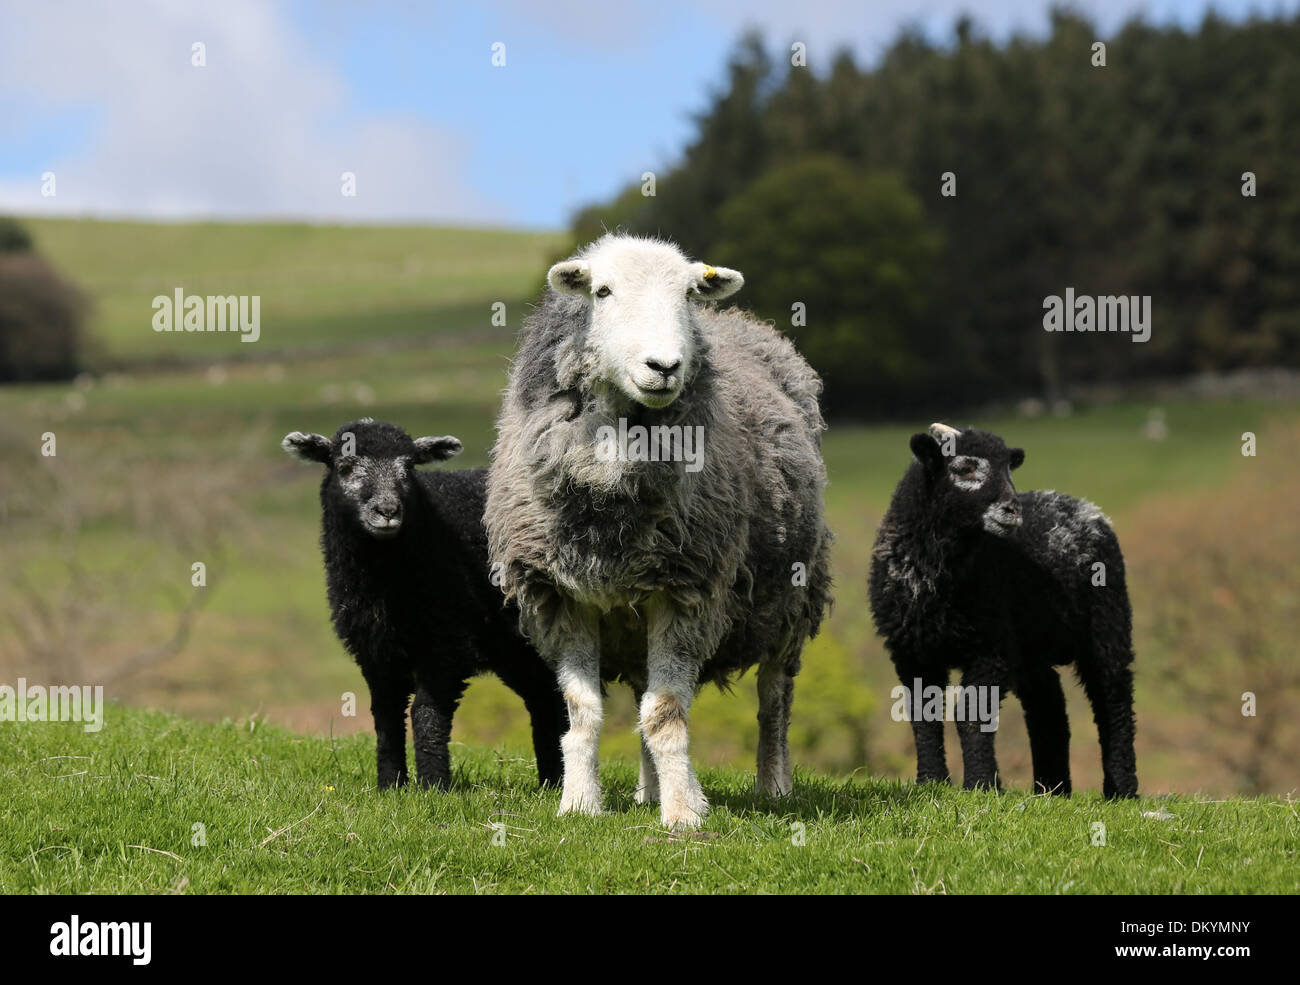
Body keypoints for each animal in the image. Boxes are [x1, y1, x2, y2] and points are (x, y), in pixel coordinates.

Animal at [282, 418, 567, 791]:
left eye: (409, 468)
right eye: (345, 467)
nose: (388, 512)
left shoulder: (446, 644)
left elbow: (426, 713)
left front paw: (433, 786)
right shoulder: (375, 650)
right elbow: (386, 715)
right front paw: (391, 784)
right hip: (514, 647)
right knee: (543, 699)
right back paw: (551, 782)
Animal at [485, 234, 833, 828]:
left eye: (689, 293)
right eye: (602, 290)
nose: (664, 366)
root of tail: (745, 322)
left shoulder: (686, 589)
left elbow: (667, 713)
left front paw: (683, 817)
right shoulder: (561, 593)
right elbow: (584, 712)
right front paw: (580, 804)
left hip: (792, 600)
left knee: (774, 698)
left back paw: (771, 786)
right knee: (647, 692)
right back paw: (651, 790)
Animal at [868, 422, 1138, 798]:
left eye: (1009, 468)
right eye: (965, 468)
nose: (1013, 510)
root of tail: (1085, 506)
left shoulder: (990, 647)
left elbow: (972, 713)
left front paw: (980, 784)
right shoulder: (912, 652)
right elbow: (924, 717)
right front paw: (931, 783)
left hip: (1108, 623)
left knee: (1113, 701)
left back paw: (1121, 789)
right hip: (1031, 647)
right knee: (1048, 708)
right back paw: (1052, 790)